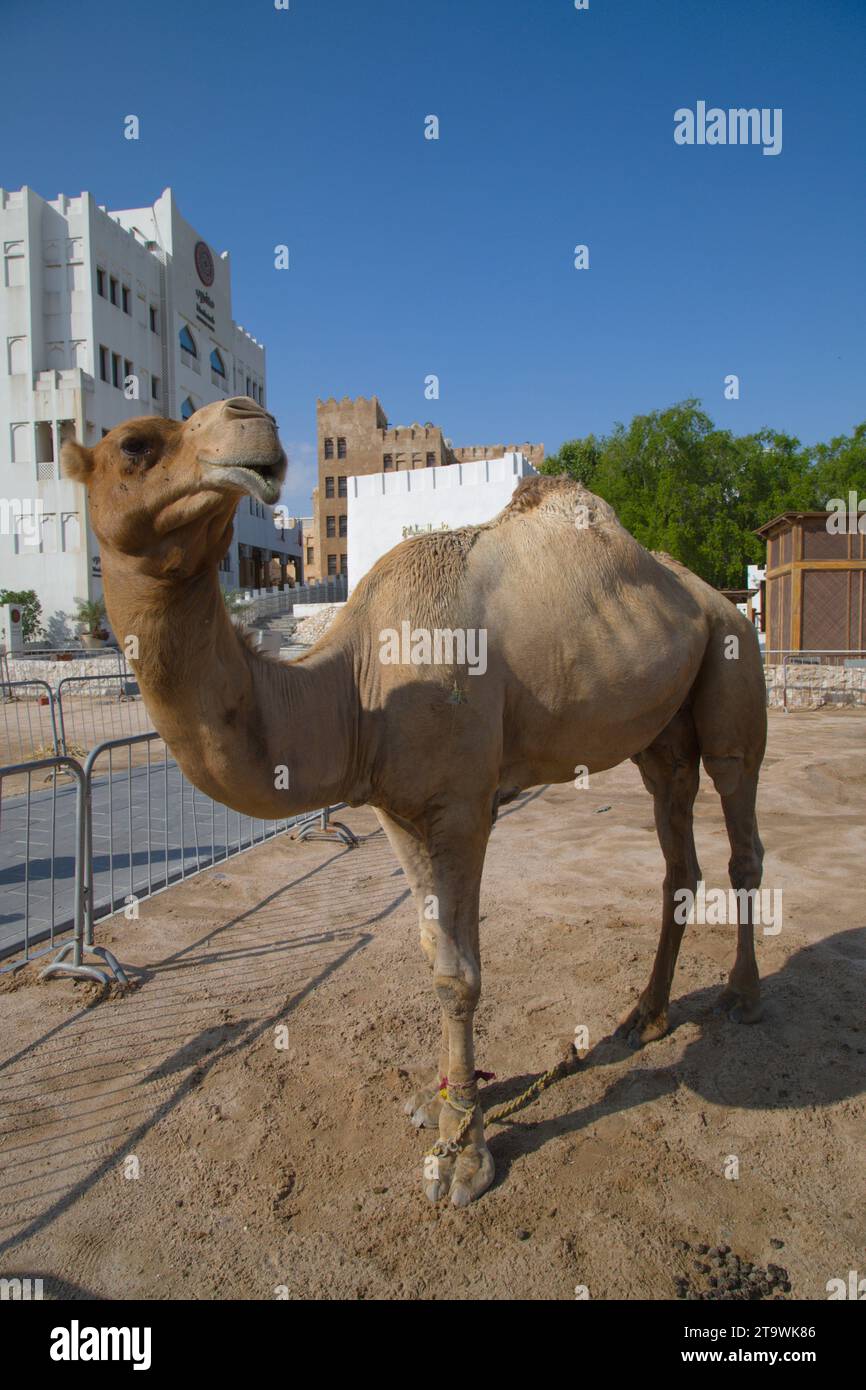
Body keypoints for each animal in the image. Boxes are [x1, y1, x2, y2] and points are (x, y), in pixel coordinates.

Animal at [62, 396, 767, 1208]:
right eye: (135, 445)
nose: (251, 417)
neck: (356, 686)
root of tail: (719, 598)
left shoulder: (461, 806)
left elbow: (460, 973)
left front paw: (463, 1152)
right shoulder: (395, 809)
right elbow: (433, 951)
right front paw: (445, 1105)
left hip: (734, 657)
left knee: (741, 826)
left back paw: (743, 996)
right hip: (661, 731)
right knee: (677, 847)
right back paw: (645, 1016)